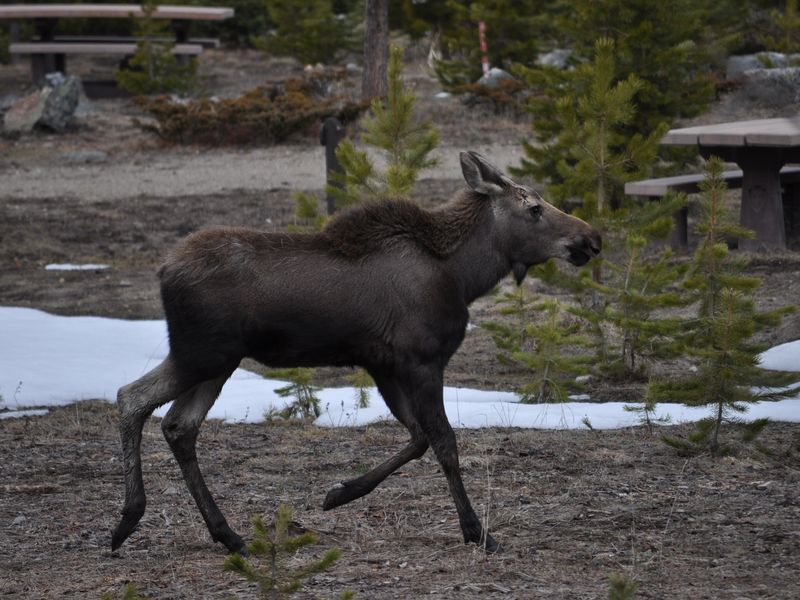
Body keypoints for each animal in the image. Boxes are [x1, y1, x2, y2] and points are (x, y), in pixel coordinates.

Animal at [111, 151, 601, 555]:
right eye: (533, 208)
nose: (591, 239)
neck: (463, 275)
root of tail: (163, 270)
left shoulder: (385, 364)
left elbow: (418, 438)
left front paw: (338, 493)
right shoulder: (423, 361)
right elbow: (444, 442)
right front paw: (476, 531)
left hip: (217, 362)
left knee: (179, 425)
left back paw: (227, 534)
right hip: (201, 354)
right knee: (131, 398)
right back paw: (128, 520)